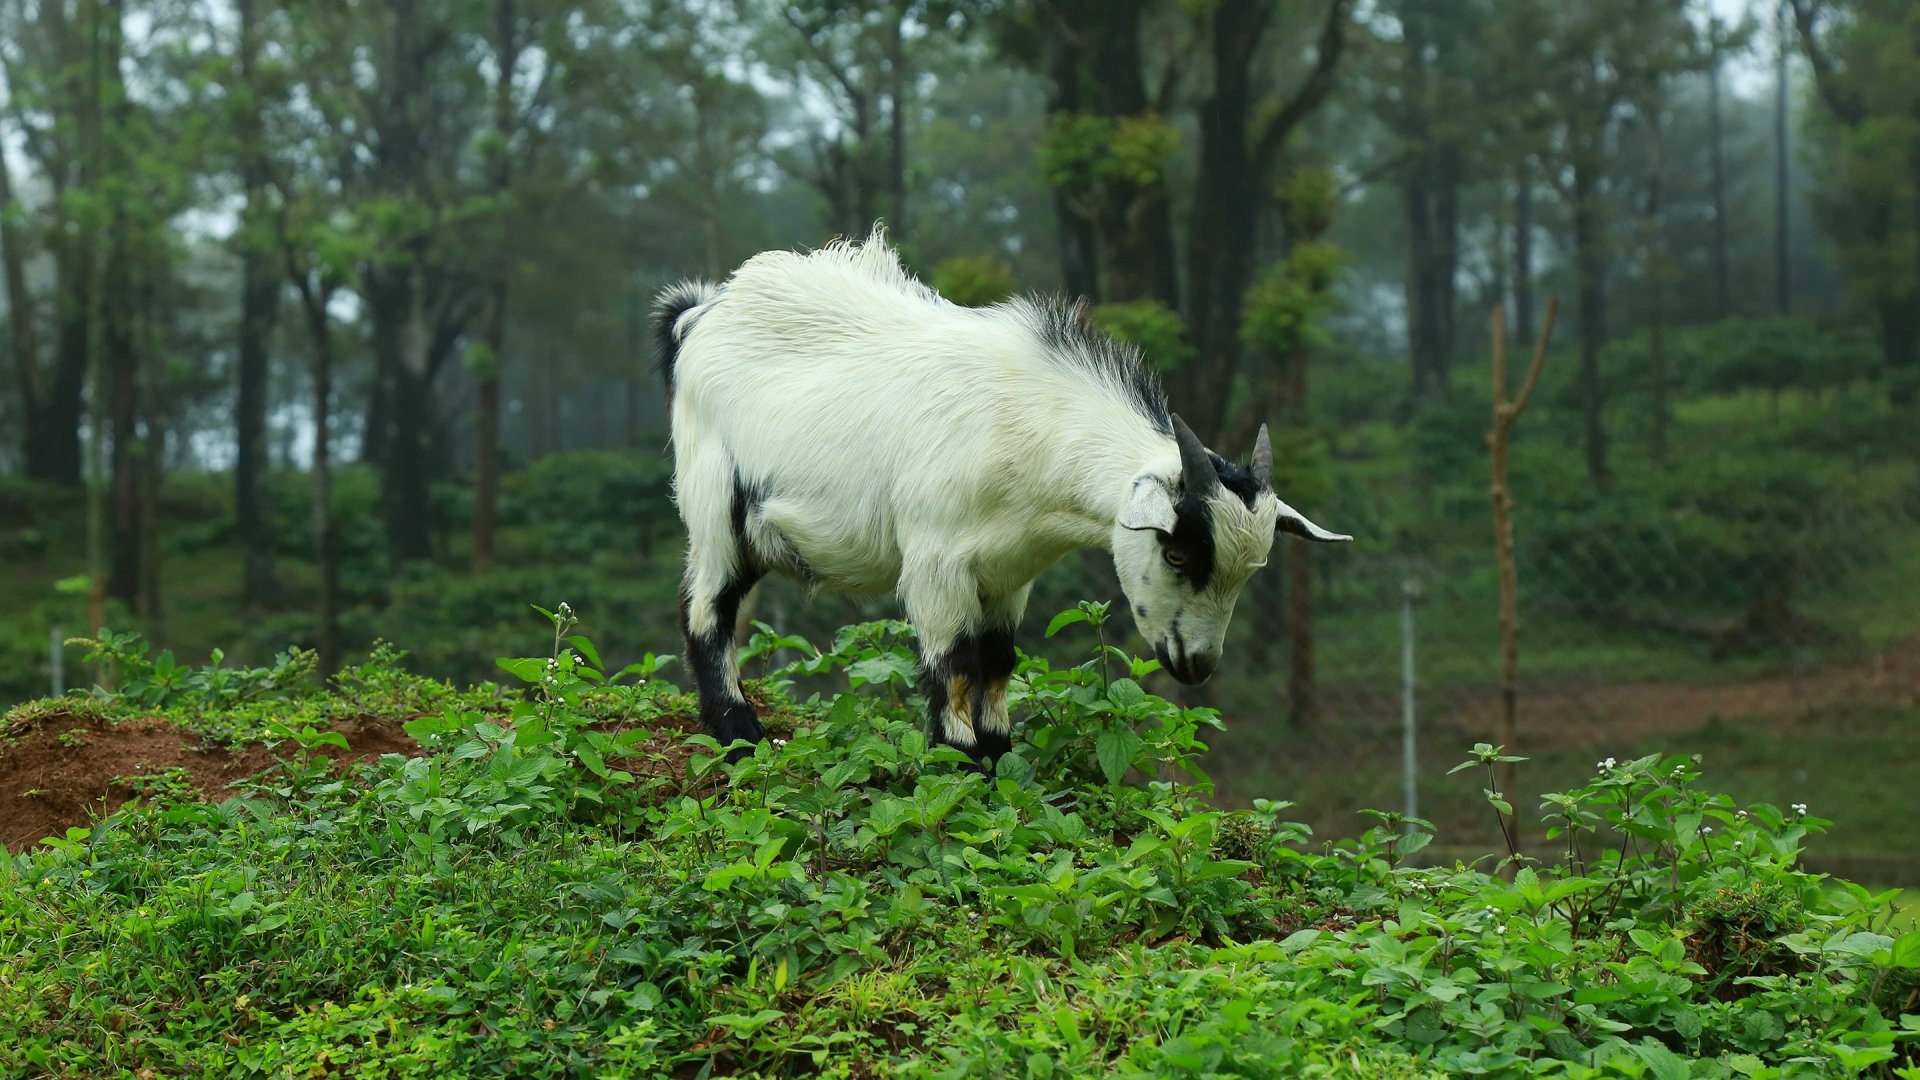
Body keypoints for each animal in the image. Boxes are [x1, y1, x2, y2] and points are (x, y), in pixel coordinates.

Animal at [656, 232, 1349, 769]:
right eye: (1177, 554)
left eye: (1249, 572)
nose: (1197, 665)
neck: (1025, 428)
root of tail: (701, 314)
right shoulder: (936, 568)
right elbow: (955, 665)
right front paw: (960, 762)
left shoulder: (1009, 575)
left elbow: (996, 660)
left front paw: (999, 757)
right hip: (714, 504)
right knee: (706, 610)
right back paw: (739, 735)